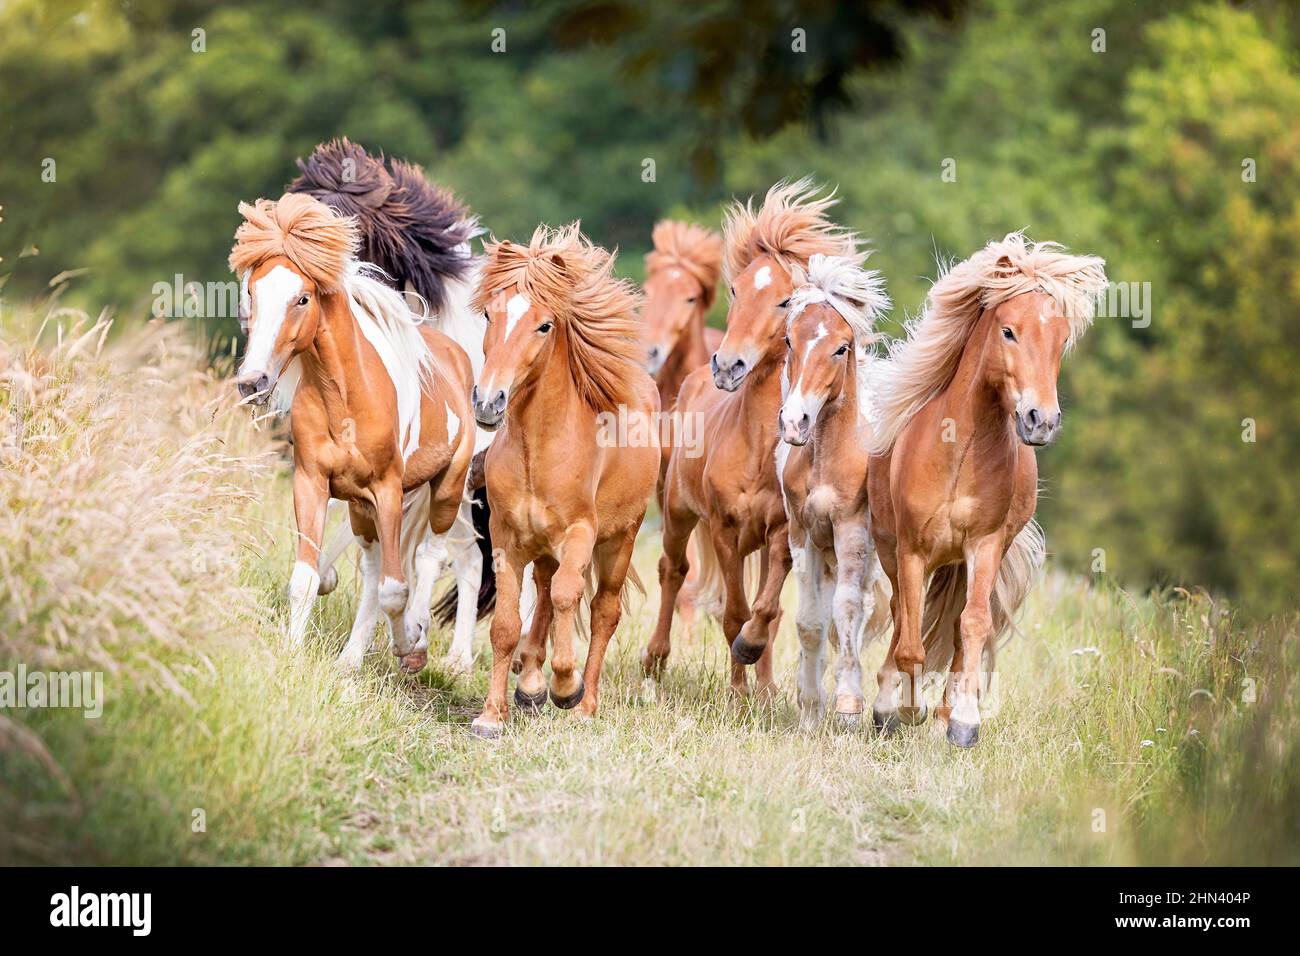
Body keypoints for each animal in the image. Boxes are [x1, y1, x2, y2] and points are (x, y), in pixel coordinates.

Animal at [229, 192, 476, 674]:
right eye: (252, 292)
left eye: (302, 298)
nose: (252, 381)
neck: (344, 398)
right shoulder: (313, 483)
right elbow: (307, 578)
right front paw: (292, 654)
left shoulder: (388, 490)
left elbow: (396, 589)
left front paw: (408, 644)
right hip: (362, 508)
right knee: (374, 567)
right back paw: (351, 658)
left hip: (446, 489)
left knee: (431, 557)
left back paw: (419, 643)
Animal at [468, 223, 659, 737]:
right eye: (489, 313)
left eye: (544, 325)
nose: (488, 401)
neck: (540, 451)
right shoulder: (506, 537)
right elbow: (507, 625)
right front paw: (492, 714)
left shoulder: (579, 533)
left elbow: (571, 595)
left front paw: (565, 687)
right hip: (542, 546)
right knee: (545, 596)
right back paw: (530, 685)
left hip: (619, 540)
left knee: (601, 610)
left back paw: (585, 702)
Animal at [643, 179, 859, 697]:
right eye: (735, 289)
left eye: (784, 301)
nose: (728, 365)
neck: (758, 451)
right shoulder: (723, 528)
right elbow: (733, 612)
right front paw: (738, 690)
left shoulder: (782, 532)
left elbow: (767, 610)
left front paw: (759, 680)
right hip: (677, 511)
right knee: (673, 572)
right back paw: (655, 661)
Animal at [867, 232, 1107, 747]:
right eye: (1009, 332)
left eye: (1061, 339)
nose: (1041, 420)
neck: (959, 453)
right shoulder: (913, 550)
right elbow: (911, 640)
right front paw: (905, 709)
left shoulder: (985, 545)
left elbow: (972, 624)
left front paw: (962, 721)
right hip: (891, 547)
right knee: (901, 614)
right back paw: (887, 707)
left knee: (960, 626)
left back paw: (944, 712)